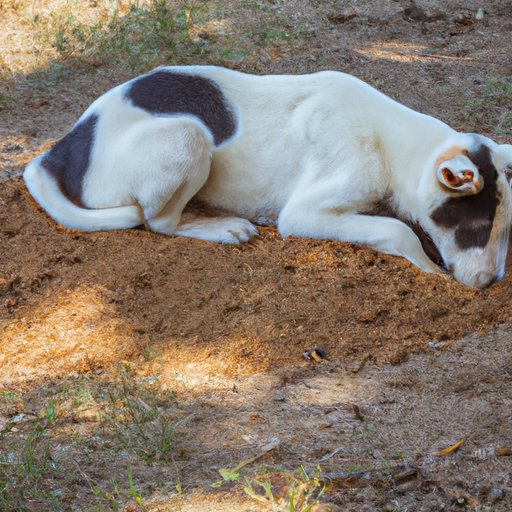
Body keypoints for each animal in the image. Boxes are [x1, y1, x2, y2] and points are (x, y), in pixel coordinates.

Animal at [23, 65, 512, 288]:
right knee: (159, 222)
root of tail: (59, 154)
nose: (491, 284)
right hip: (187, 135)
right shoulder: (304, 213)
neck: (391, 141)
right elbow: (397, 230)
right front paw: (430, 271)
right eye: (477, 225)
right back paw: (221, 226)